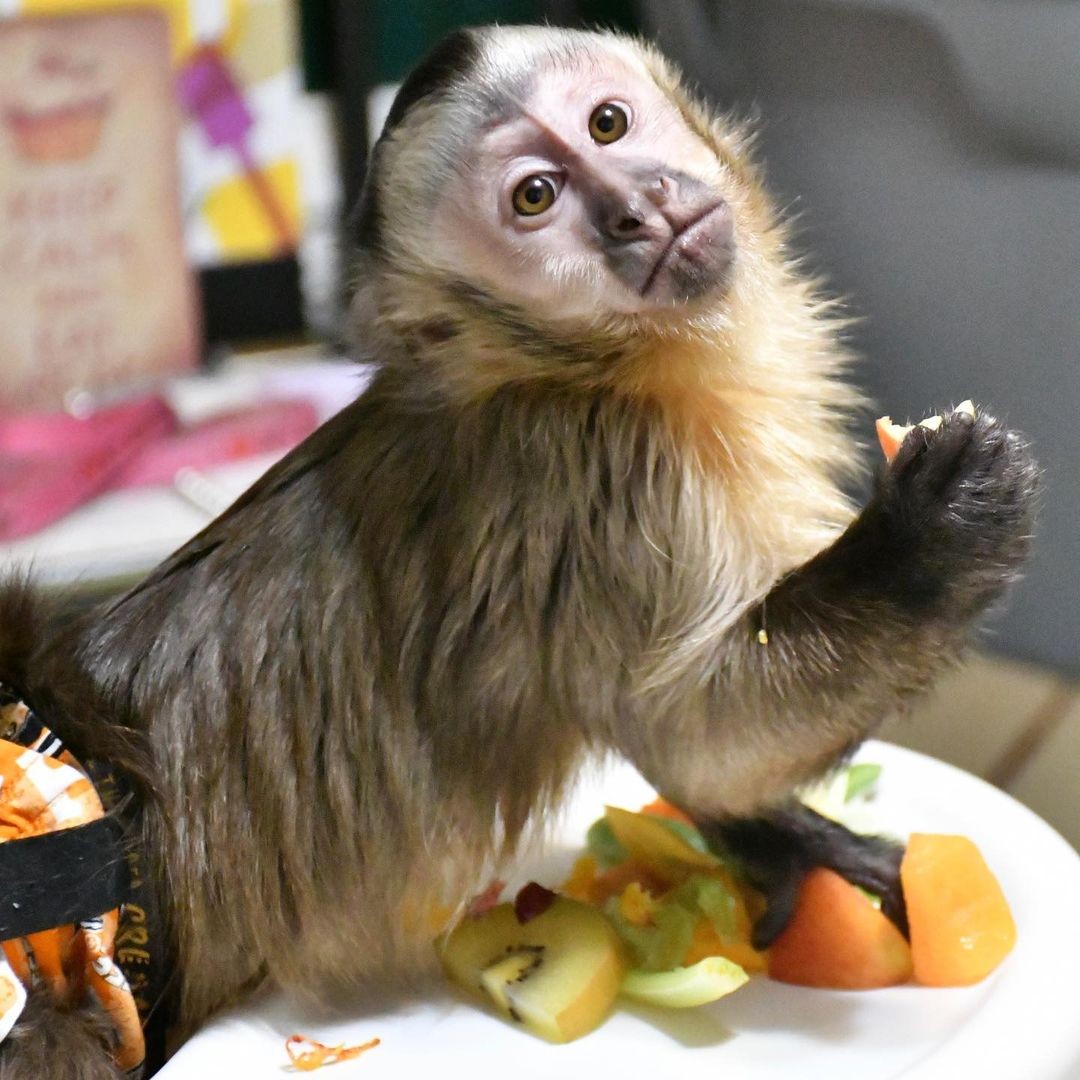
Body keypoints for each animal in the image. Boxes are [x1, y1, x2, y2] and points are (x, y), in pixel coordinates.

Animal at [0, 24, 1036, 1079]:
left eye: (608, 124)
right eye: (535, 198)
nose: (635, 208)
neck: (578, 368)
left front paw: (790, 848)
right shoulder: (600, 474)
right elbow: (693, 734)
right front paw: (930, 538)